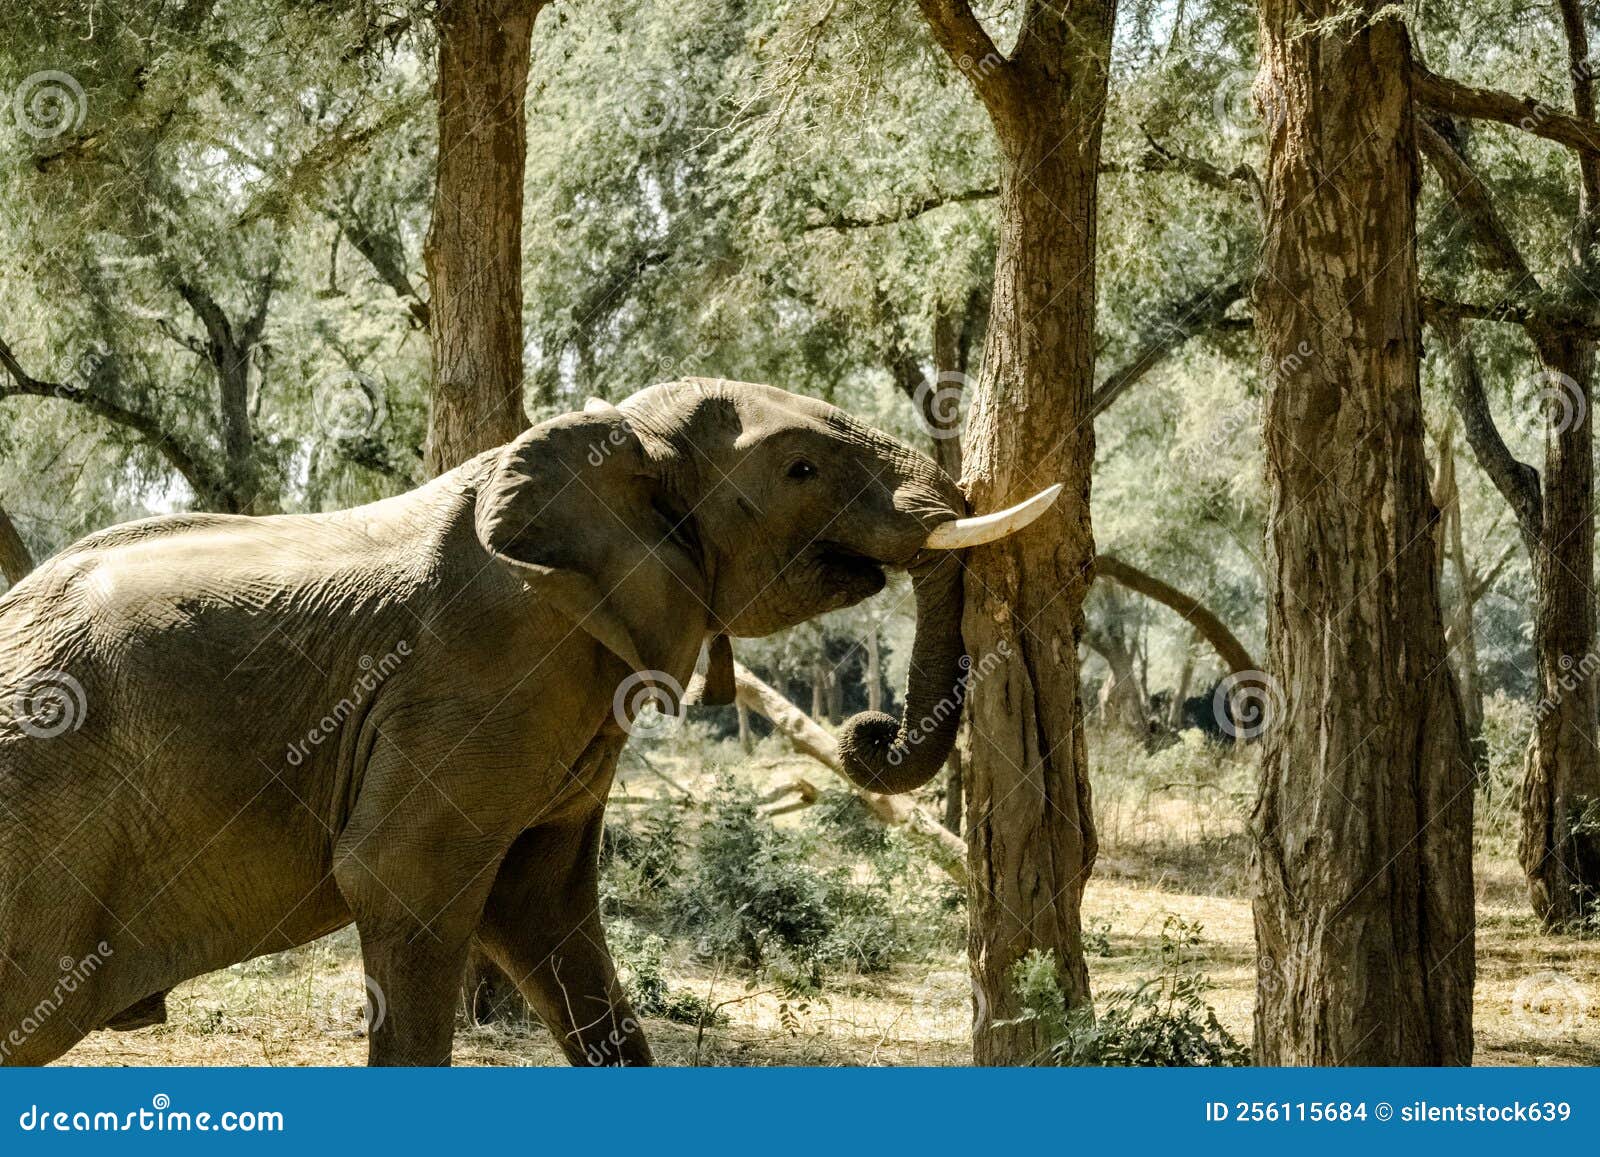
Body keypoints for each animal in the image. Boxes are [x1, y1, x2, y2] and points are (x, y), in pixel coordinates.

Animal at [0, 379, 1057, 1066]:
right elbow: (399, 879)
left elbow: (545, 910)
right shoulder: (481, 674)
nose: (867, 731)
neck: (614, 430)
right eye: (801, 467)